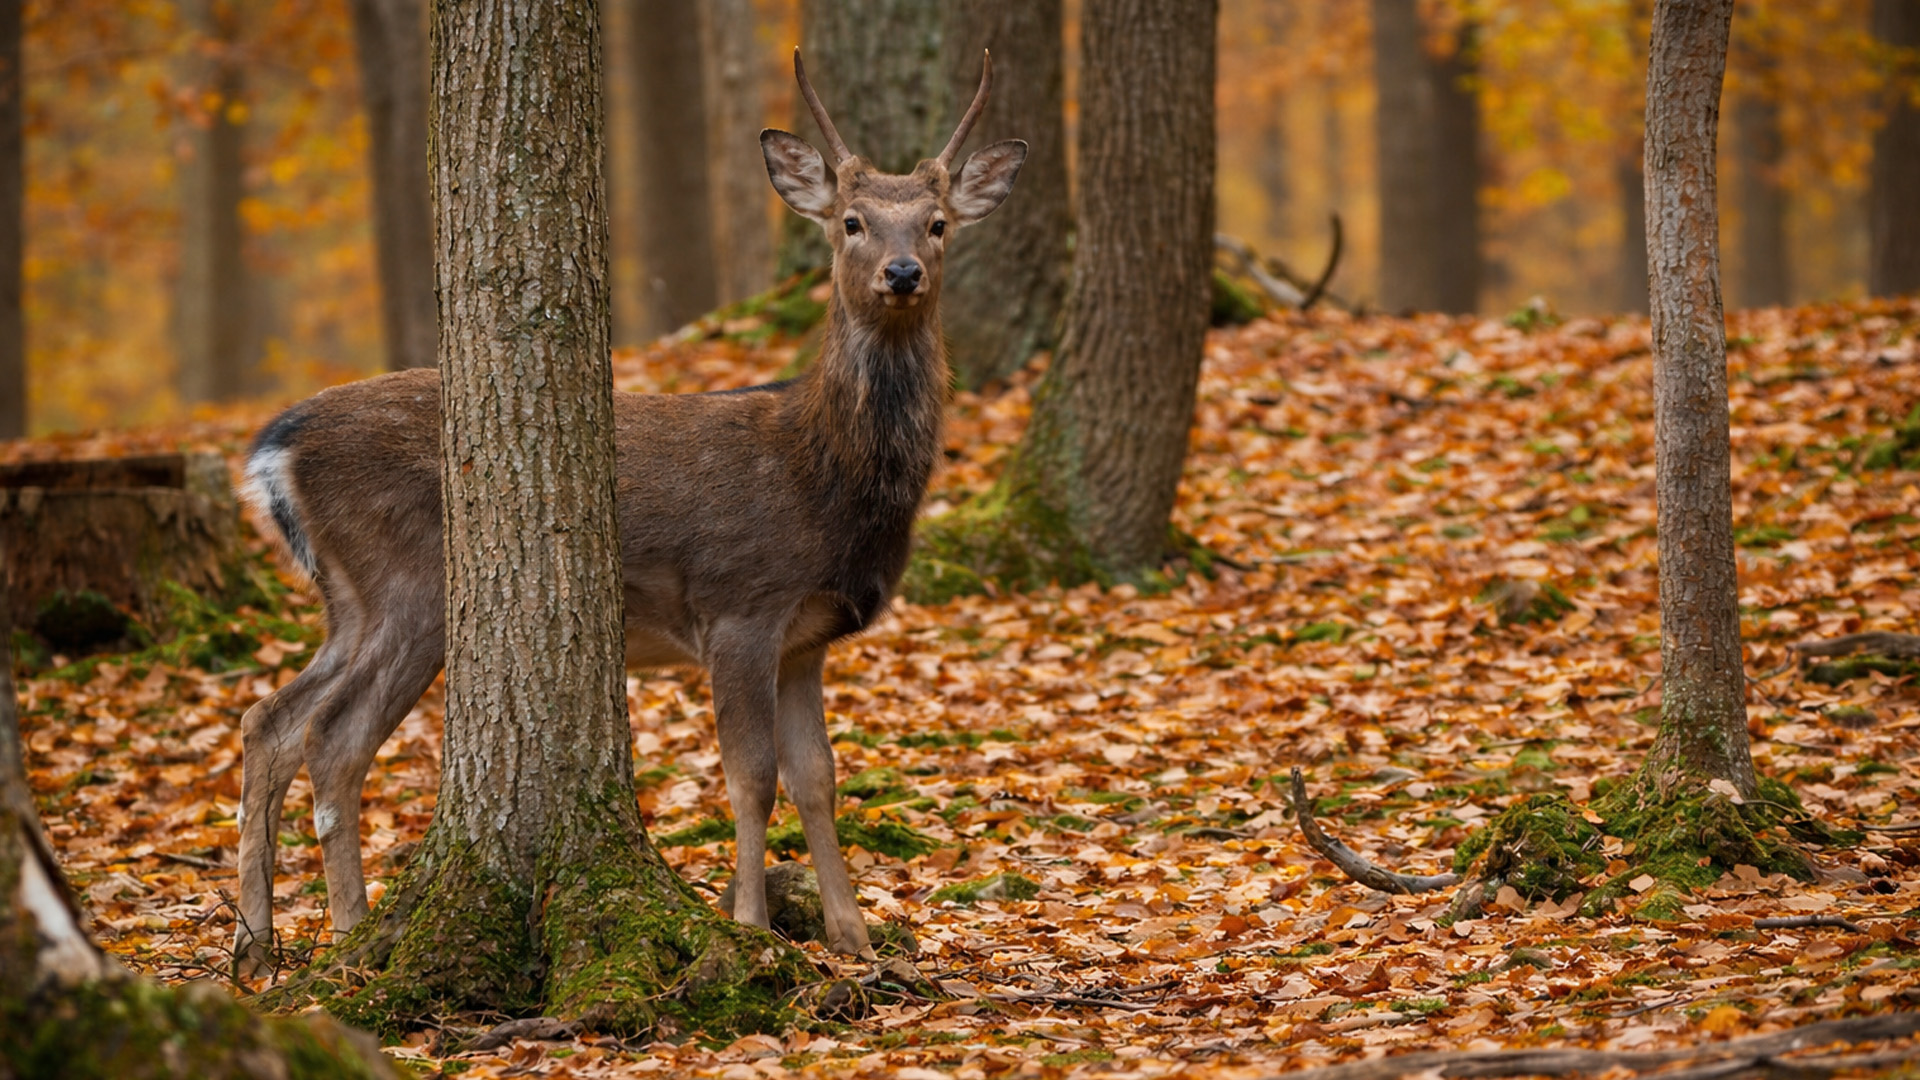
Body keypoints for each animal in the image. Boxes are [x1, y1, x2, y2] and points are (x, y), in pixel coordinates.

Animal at [230, 50, 1024, 974]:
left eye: (937, 224)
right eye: (853, 222)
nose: (902, 273)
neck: (822, 479)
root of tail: (274, 449)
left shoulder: (807, 637)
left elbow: (818, 778)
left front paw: (853, 938)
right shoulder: (740, 605)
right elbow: (751, 777)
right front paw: (751, 926)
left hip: (351, 599)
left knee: (272, 720)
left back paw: (258, 947)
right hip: (409, 585)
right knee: (332, 737)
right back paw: (350, 938)